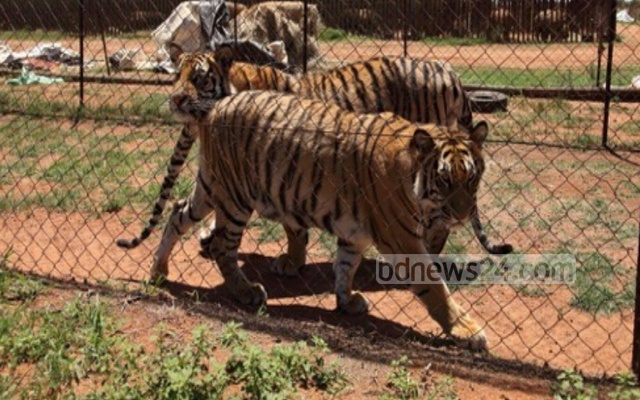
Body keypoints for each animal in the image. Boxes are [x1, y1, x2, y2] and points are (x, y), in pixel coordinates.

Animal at [116, 48, 512, 258]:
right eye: (175, 76)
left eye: (198, 78)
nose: (175, 100)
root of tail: (449, 72)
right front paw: (209, 234)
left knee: (440, 219)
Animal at [153, 89, 488, 348]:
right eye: (444, 180)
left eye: (471, 179)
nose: (463, 214)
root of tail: (216, 105)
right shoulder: (402, 239)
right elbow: (435, 288)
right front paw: (468, 331)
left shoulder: (355, 234)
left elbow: (346, 266)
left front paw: (346, 301)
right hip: (235, 198)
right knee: (223, 247)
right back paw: (246, 291)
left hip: (212, 187)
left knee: (177, 213)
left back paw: (158, 271)